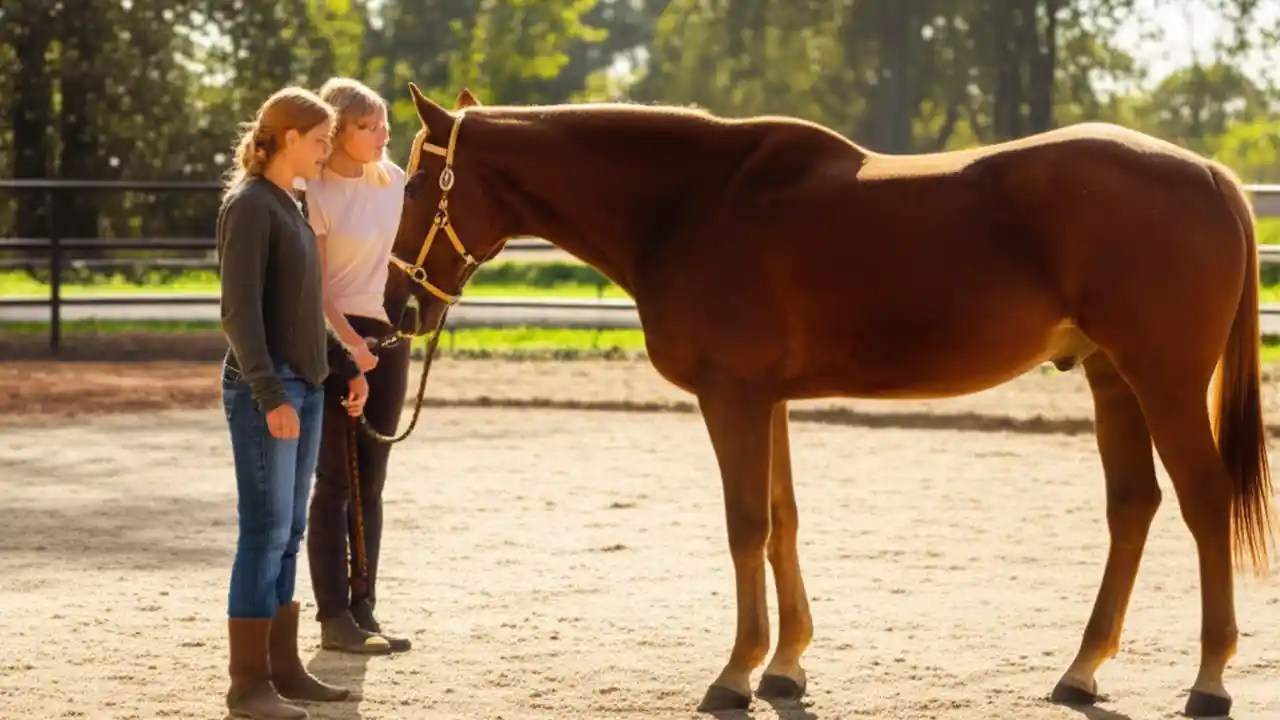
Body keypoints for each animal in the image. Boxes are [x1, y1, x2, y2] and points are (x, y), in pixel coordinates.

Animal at [381, 82, 1274, 717]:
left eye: (419, 182)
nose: (398, 308)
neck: (690, 203)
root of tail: (1210, 176)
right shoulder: (767, 399)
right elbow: (784, 522)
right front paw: (785, 667)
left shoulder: (732, 397)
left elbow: (746, 526)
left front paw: (735, 673)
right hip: (1110, 377)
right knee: (1133, 507)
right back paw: (1081, 670)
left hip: (1162, 379)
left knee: (1204, 502)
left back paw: (1209, 680)